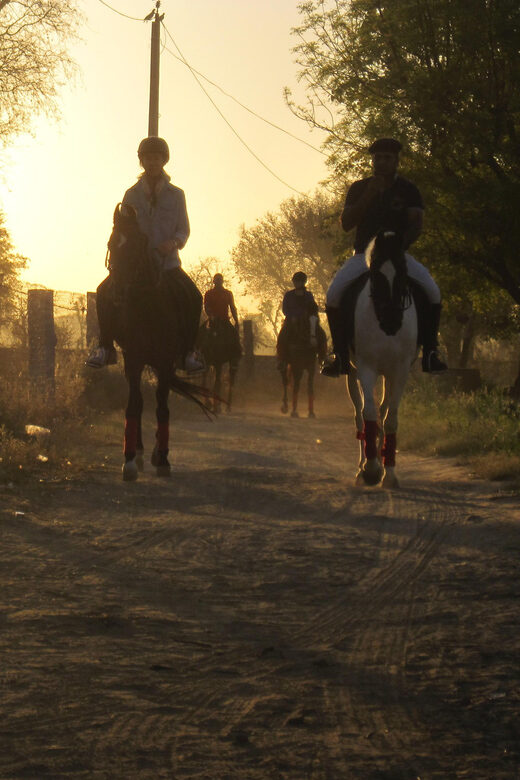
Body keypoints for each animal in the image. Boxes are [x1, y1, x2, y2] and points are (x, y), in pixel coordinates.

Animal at [106, 203, 210, 482]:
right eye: (111, 243)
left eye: (138, 243)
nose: (118, 291)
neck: (147, 307)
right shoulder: (133, 359)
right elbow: (134, 405)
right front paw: (130, 460)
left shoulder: (164, 362)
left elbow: (162, 406)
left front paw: (163, 459)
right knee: (142, 402)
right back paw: (141, 453)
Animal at [345, 231, 418, 488]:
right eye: (375, 274)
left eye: (403, 271)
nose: (391, 320)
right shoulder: (366, 368)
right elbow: (369, 414)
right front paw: (370, 469)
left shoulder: (400, 371)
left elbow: (390, 418)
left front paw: (389, 473)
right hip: (352, 373)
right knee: (359, 416)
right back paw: (361, 468)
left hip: (388, 374)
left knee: (383, 410)